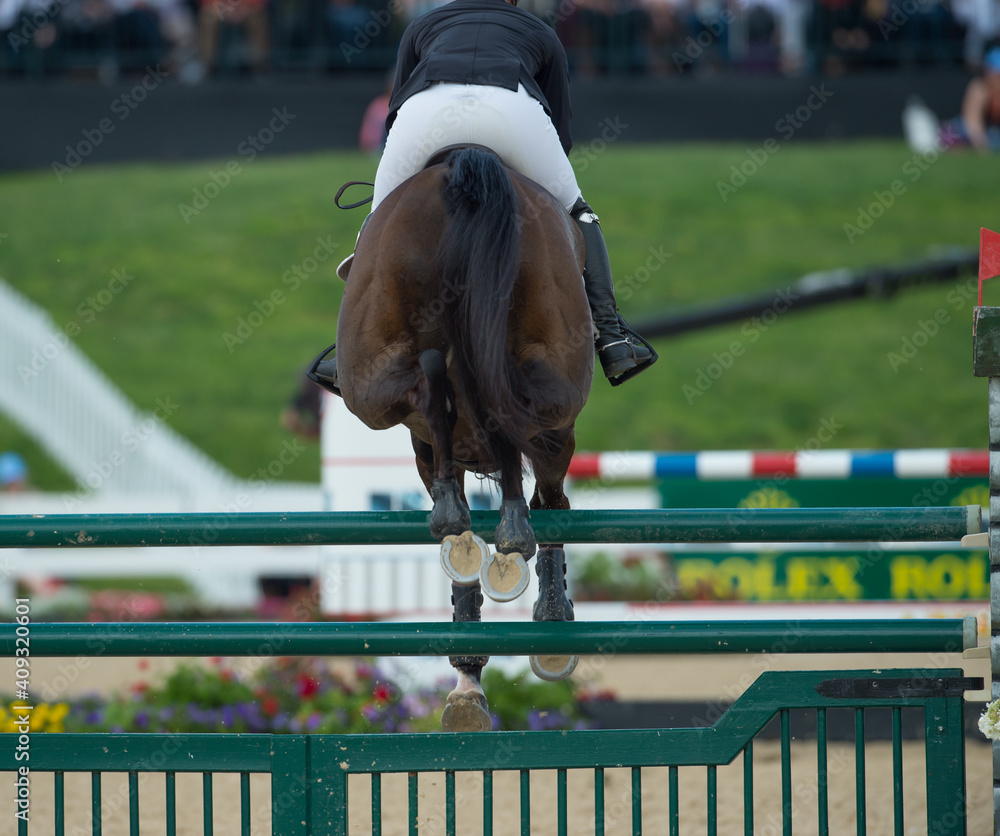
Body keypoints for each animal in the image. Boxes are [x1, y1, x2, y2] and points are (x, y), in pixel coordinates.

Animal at [333, 146, 594, 732]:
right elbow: (528, 515)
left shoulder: (430, 450)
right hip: (554, 394)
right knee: (496, 406)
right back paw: (509, 522)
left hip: (372, 382)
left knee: (444, 384)